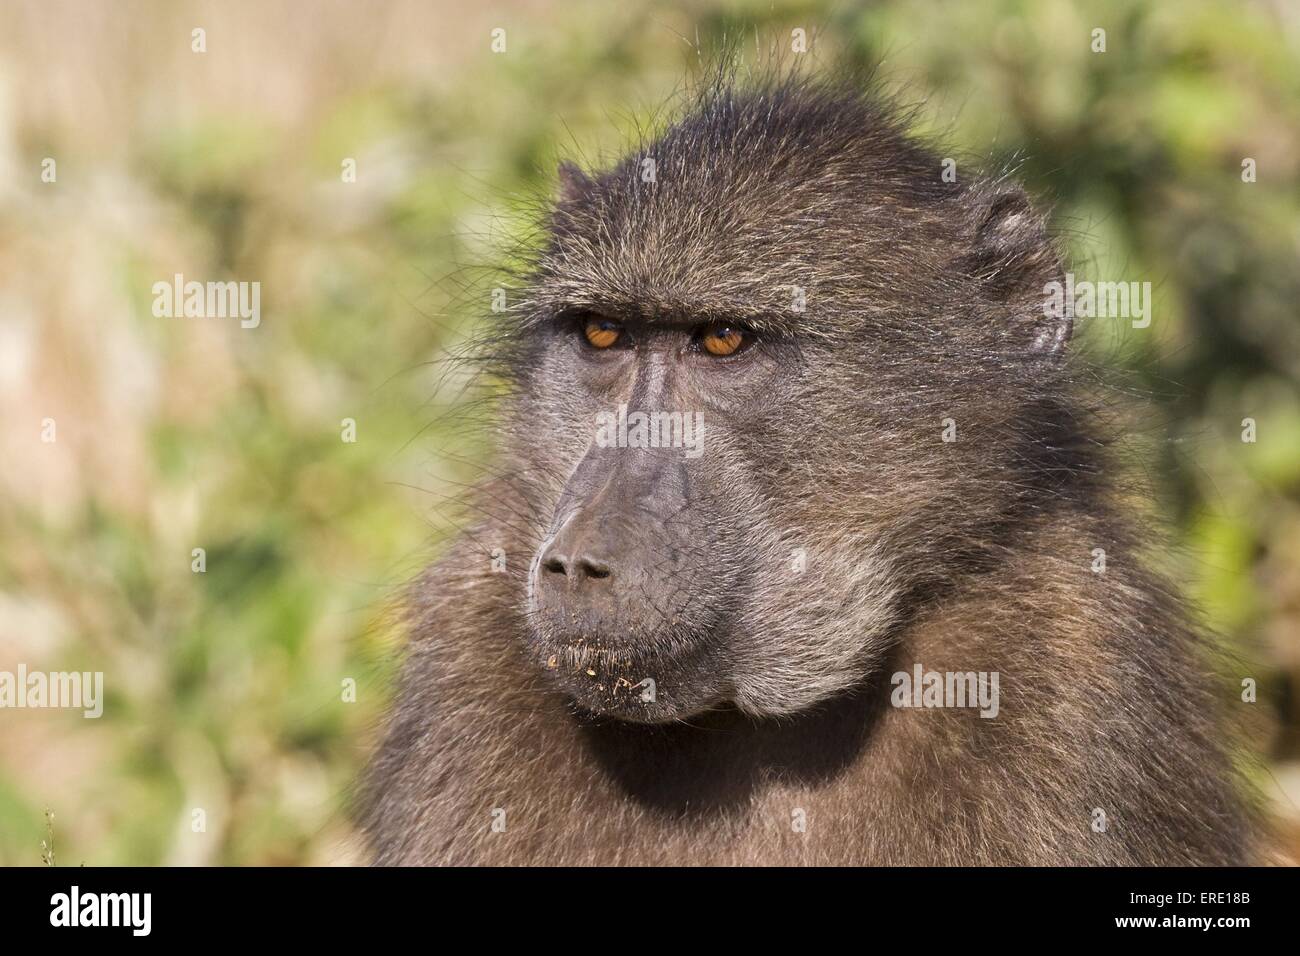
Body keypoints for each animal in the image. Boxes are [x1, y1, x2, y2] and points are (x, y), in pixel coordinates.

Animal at [360, 75, 1259, 866]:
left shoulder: (1078, 662)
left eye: (725, 340)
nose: (579, 560)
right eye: (603, 334)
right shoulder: (474, 640)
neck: (760, 731)